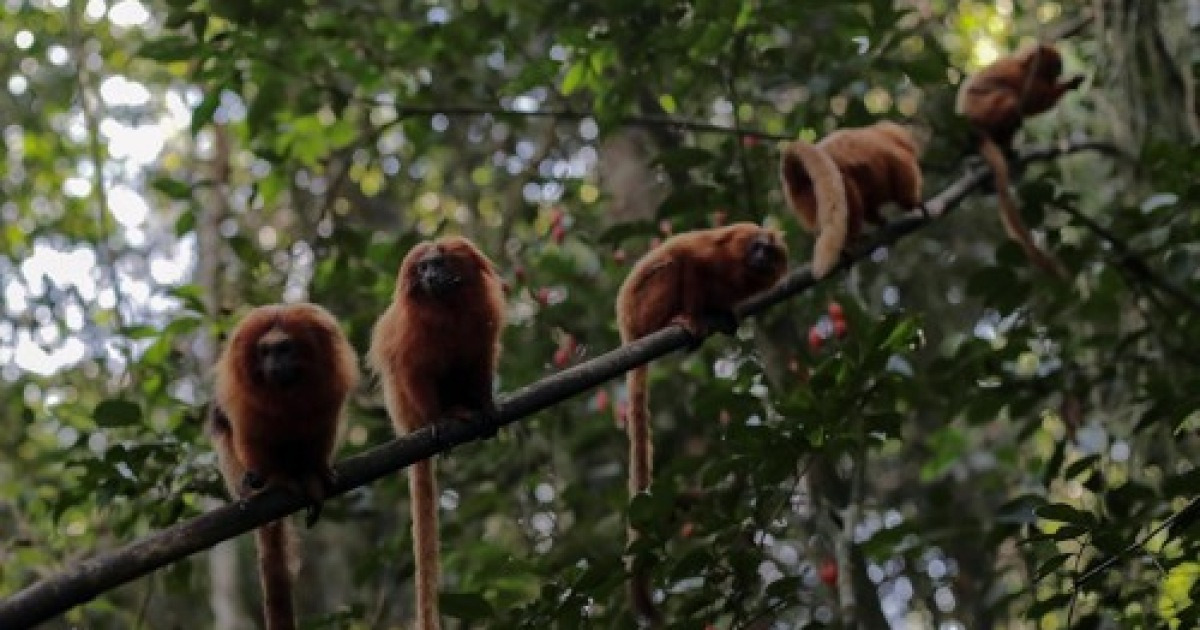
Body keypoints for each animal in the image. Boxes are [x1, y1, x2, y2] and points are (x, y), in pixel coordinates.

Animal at [210, 303, 359, 630]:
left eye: (284, 349)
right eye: (265, 352)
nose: (275, 365)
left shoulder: (331, 385)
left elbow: (322, 429)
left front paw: (316, 471)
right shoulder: (240, 398)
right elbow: (242, 433)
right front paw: (273, 479)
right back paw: (261, 486)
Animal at [367, 236, 506, 630]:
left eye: (438, 264)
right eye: (423, 268)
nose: (430, 276)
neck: (447, 306)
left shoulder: (483, 317)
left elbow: (480, 359)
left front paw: (485, 405)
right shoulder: (409, 335)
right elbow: (413, 370)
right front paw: (437, 421)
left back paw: (467, 409)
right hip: (405, 410)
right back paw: (447, 416)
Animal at [615, 223, 788, 624]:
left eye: (770, 253)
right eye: (757, 247)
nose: (761, 257)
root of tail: (628, 331)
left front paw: (723, 315)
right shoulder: (713, 250)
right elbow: (688, 262)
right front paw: (691, 318)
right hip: (643, 309)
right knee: (669, 268)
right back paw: (671, 323)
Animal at [779, 121, 924, 279]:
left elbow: (870, 208)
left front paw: (880, 220)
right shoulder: (897, 155)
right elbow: (903, 174)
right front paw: (913, 204)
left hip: (805, 196)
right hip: (837, 181)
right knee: (851, 200)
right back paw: (850, 242)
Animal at [956, 42, 1084, 279]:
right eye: (1055, 67)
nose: (1058, 72)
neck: (1025, 65)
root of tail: (973, 129)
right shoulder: (1022, 77)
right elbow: (1037, 101)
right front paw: (1068, 84)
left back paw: (1005, 151)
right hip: (983, 111)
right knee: (1012, 100)